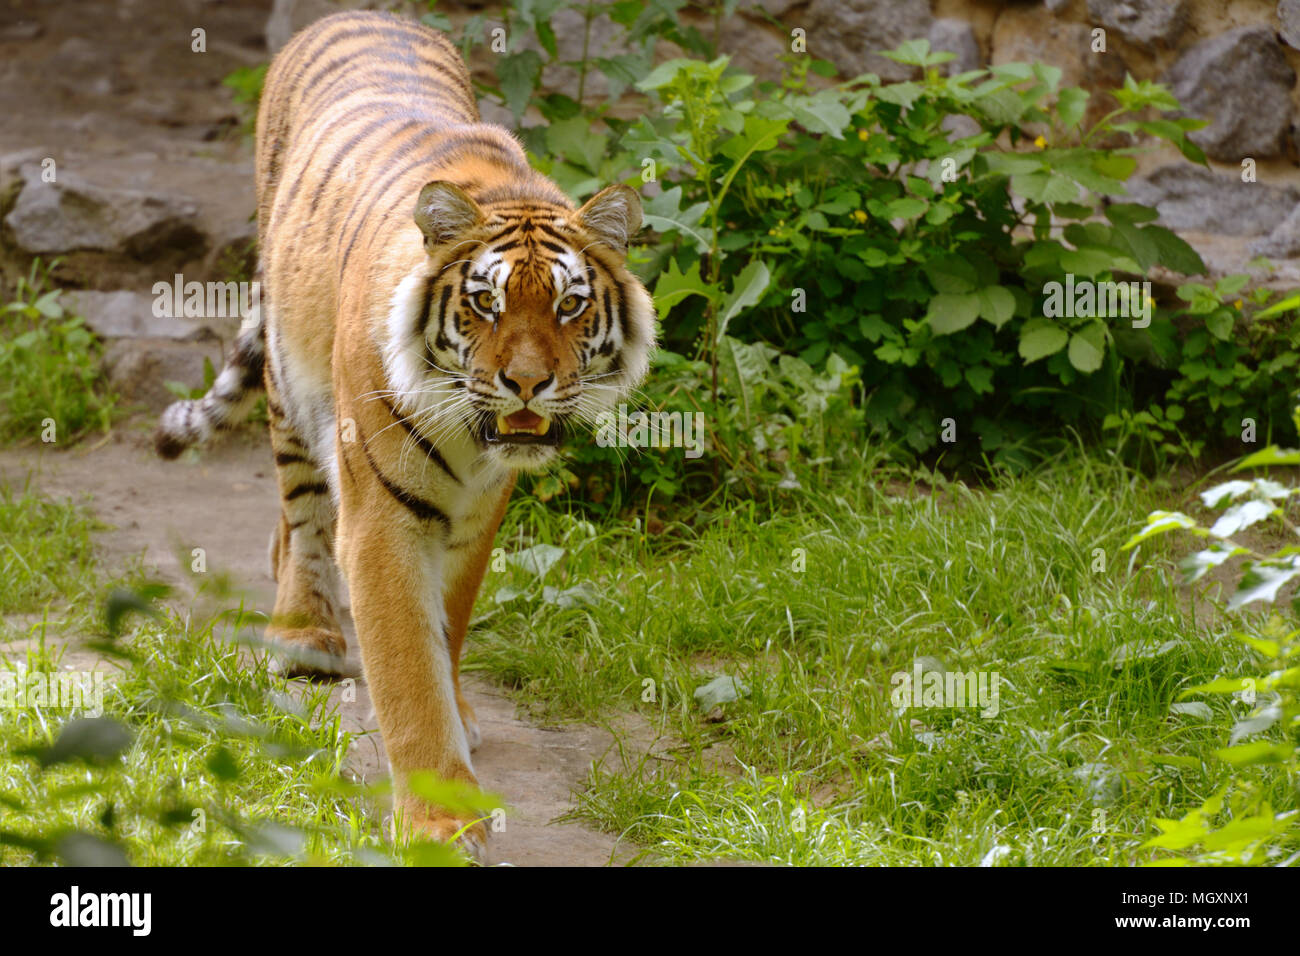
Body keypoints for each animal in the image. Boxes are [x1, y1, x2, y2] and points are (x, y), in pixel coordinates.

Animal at [153, 9, 655, 860]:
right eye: (486, 304)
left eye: (569, 305)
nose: (527, 384)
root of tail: (357, 11)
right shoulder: (384, 517)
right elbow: (407, 665)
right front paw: (439, 821)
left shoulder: (479, 513)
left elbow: (445, 632)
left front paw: (460, 722)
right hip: (290, 378)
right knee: (303, 509)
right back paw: (303, 633)